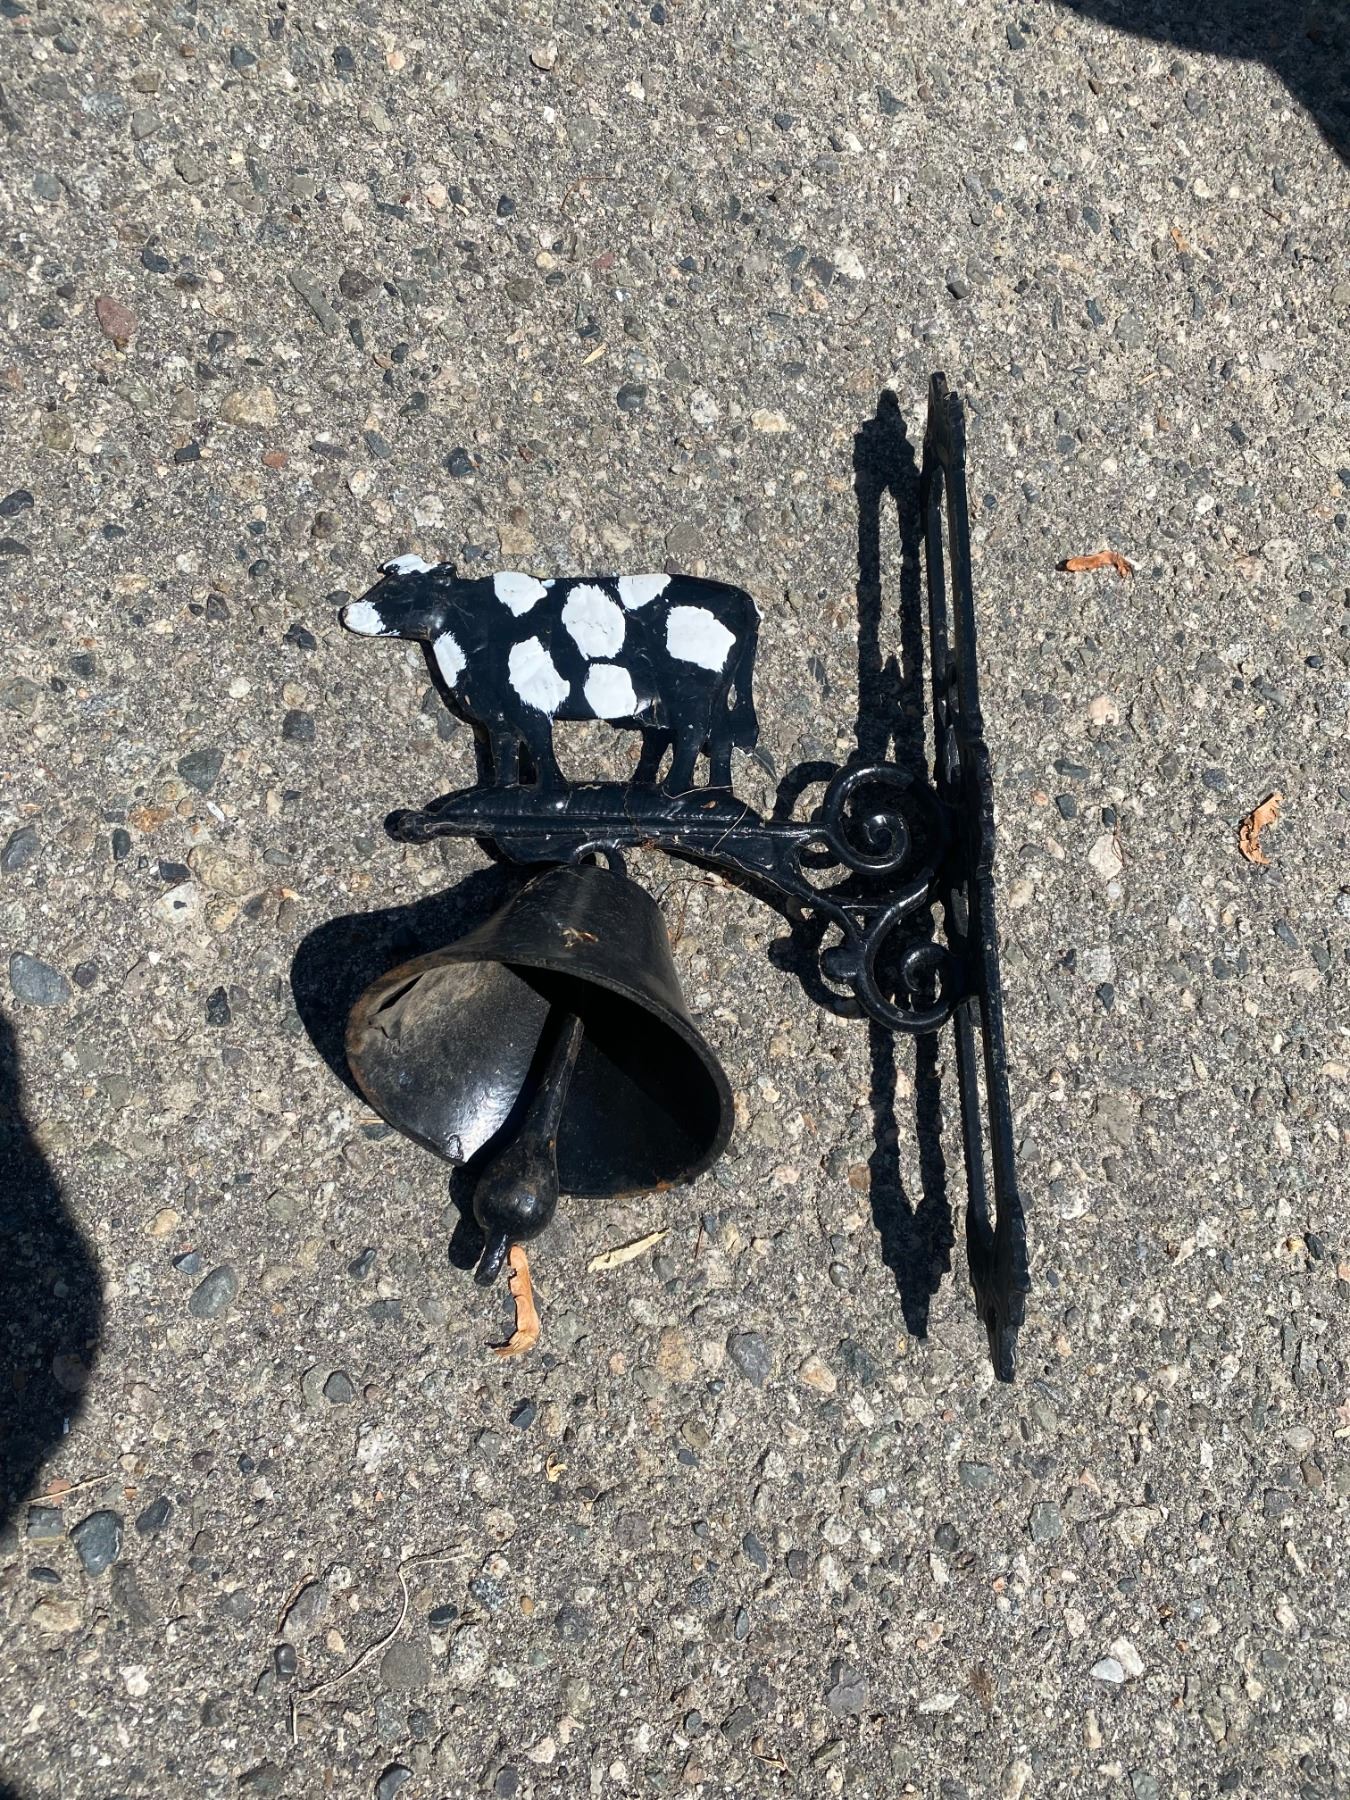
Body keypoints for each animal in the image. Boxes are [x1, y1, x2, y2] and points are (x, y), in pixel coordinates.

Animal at [340, 556, 759, 792]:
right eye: (384, 581)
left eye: (397, 590)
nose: (346, 611)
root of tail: (742, 598)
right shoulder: (498, 709)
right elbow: (505, 747)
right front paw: (502, 791)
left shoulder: (527, 699)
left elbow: (540, 744)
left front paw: (553, 791)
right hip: (710, 695)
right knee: (720, 736)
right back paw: (713, 795)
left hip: (690, 690)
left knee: (692, 734)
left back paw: (671, 793)